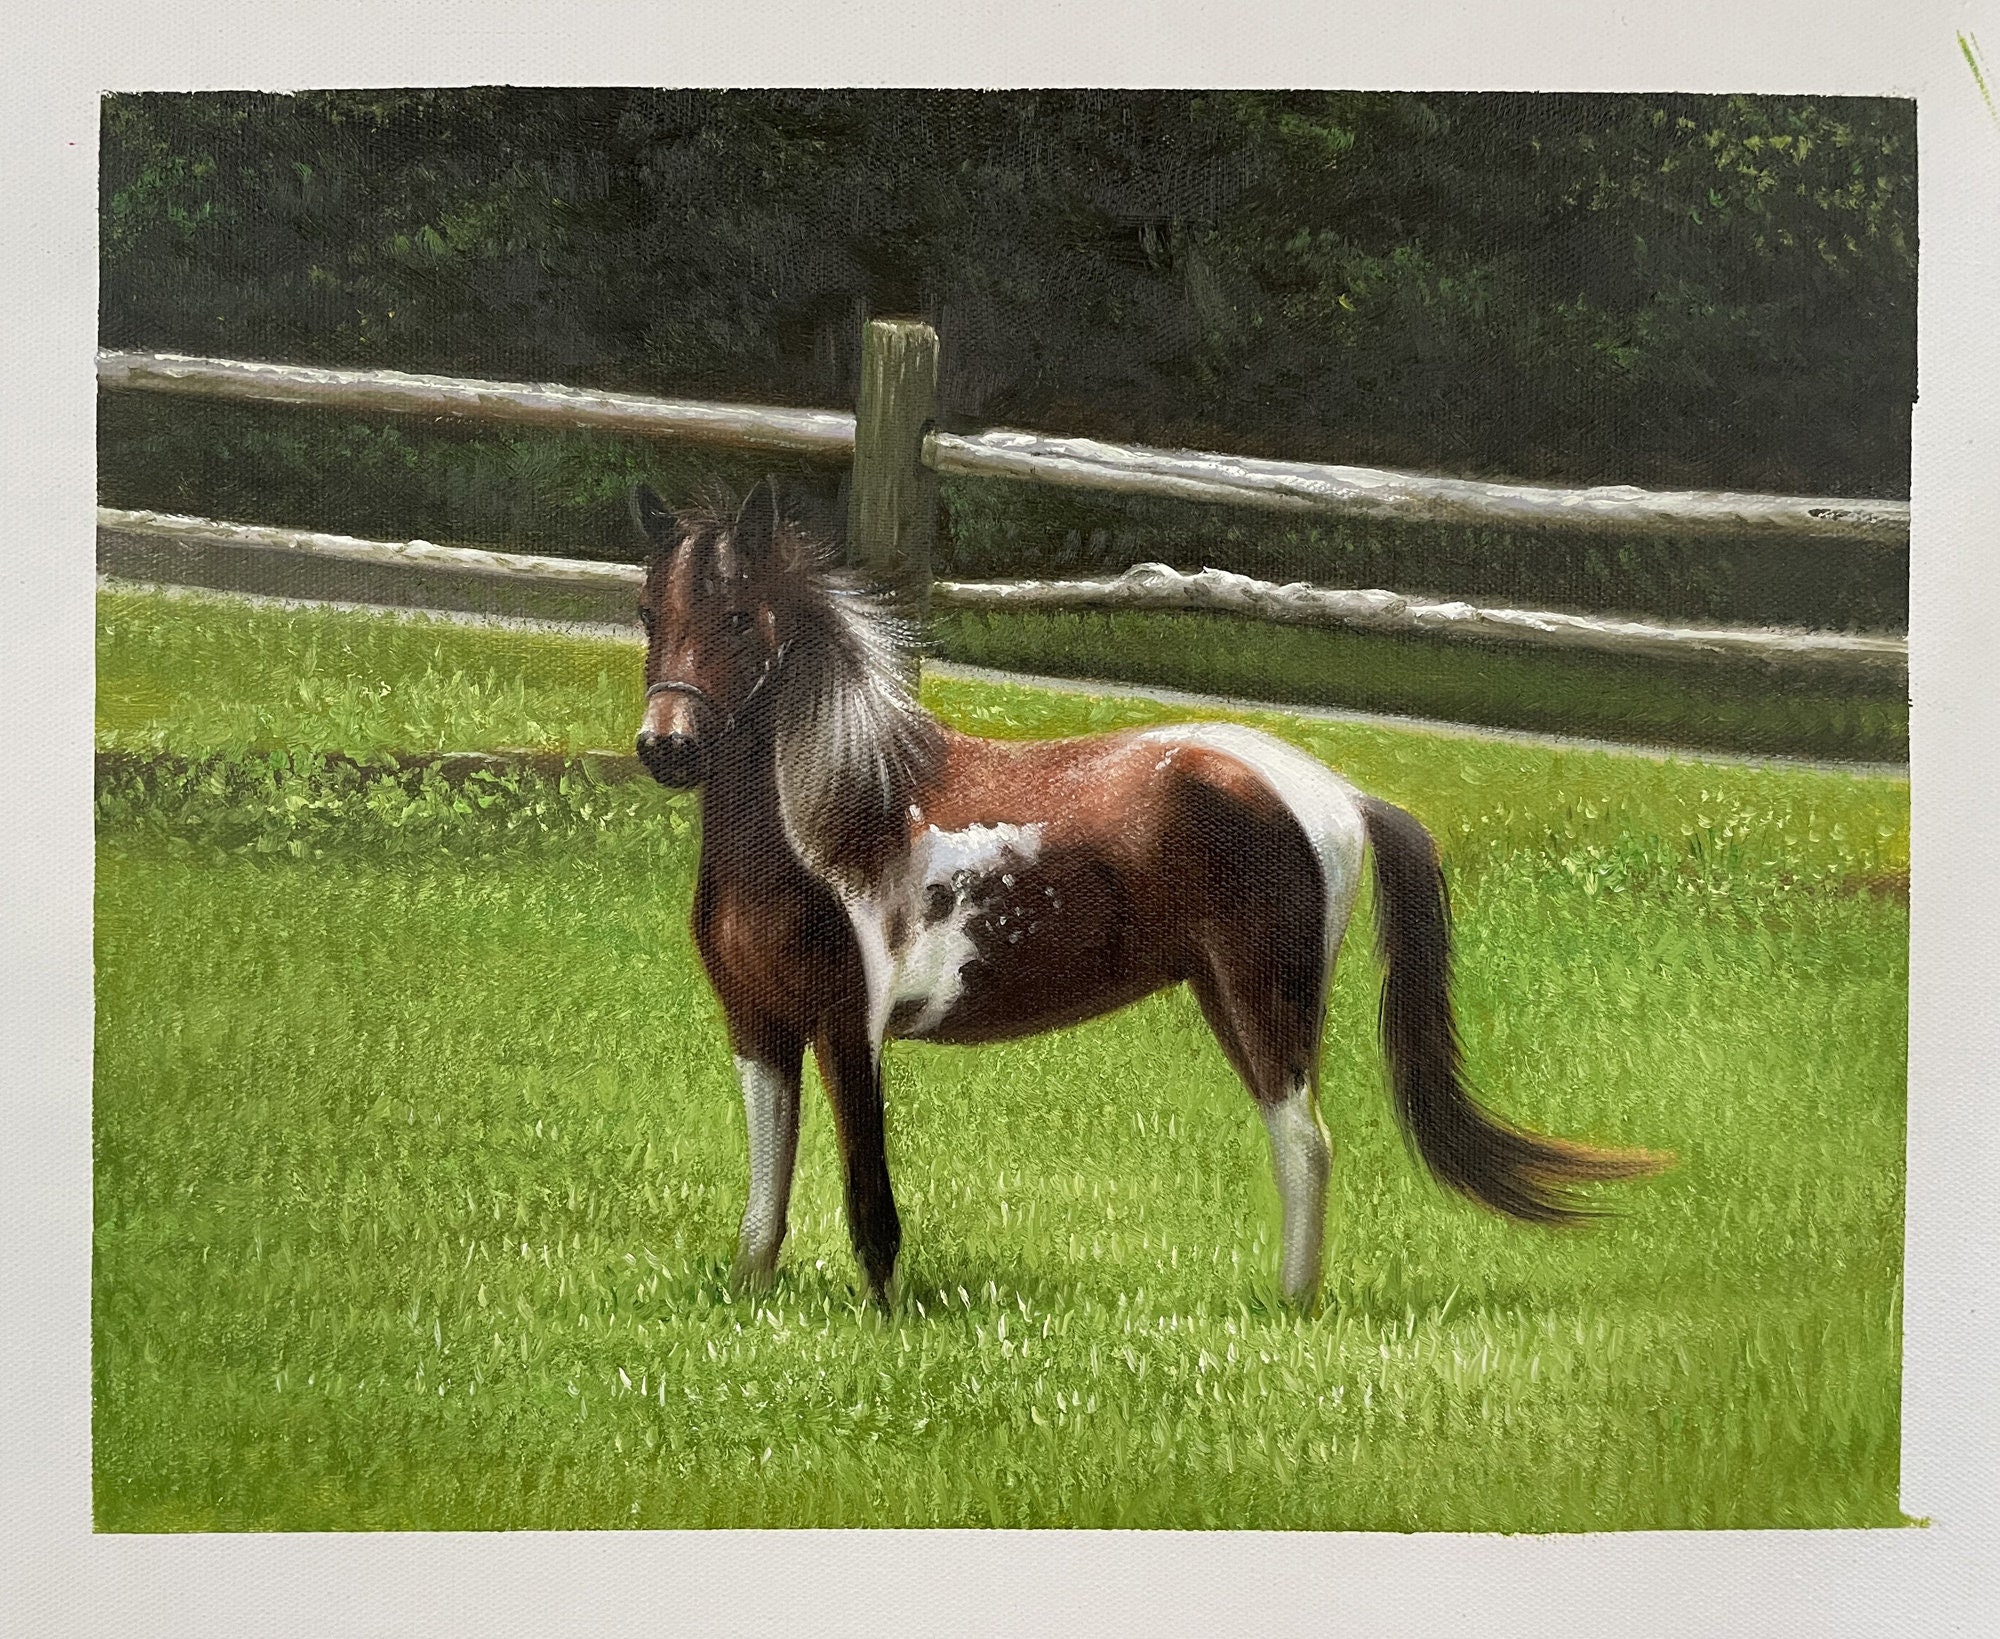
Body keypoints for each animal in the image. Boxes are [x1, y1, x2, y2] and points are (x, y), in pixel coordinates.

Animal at [630, 477, 1664, 1307]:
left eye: (739, 617)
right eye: (648, 610)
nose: (665, 748)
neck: (839, 814)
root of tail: (1338, 792)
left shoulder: (851, 1027)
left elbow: (866, 1191)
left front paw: (882, 1313)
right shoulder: (757, 1026)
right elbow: (767, 1186)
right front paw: (751, 1296)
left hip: (1267, 998)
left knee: (1306, 1143)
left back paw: (1291, 1310)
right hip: (1225, 996)